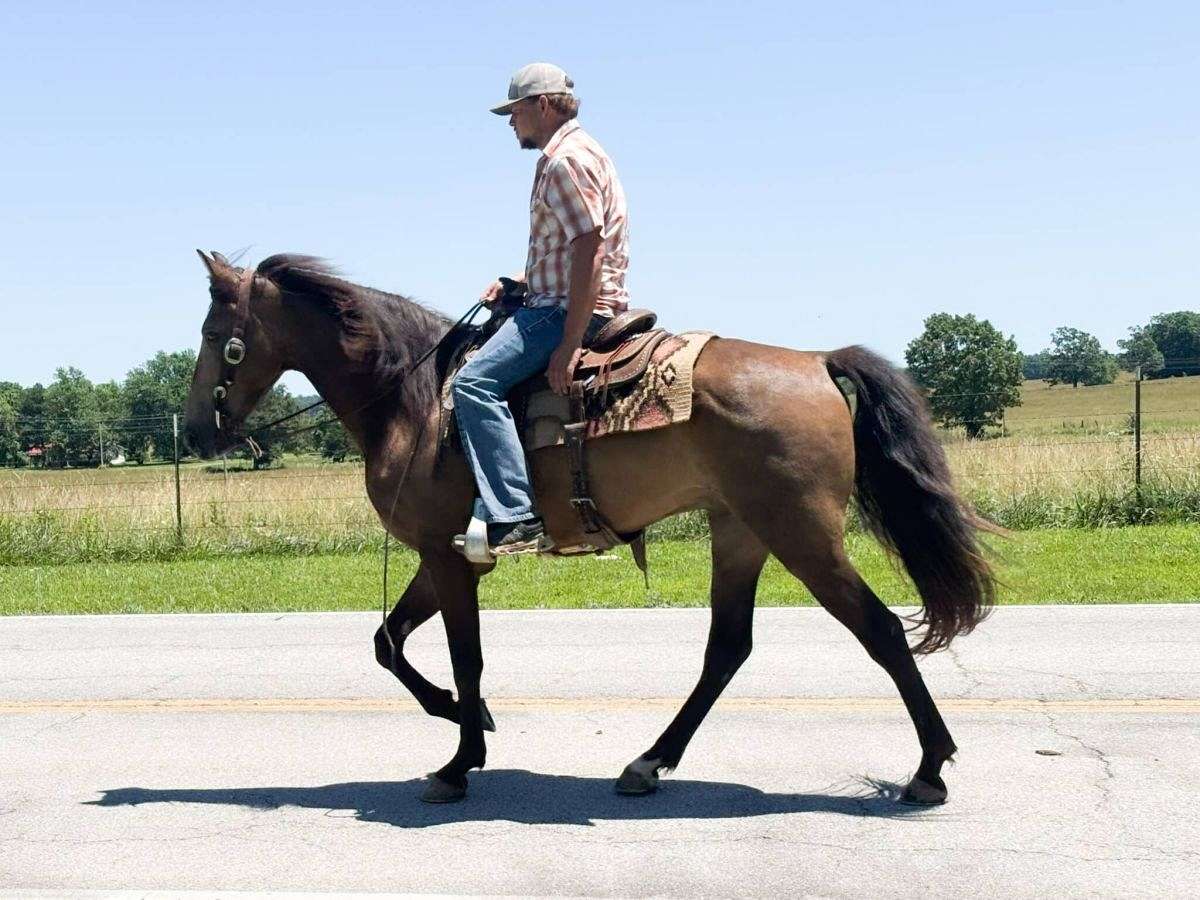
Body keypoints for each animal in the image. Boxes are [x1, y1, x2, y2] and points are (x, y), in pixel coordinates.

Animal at [184, 251, 995, 805]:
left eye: (217, 333)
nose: (194, 430)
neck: (411, 402)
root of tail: (817, 362)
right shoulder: (439, 554)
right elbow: (389, 642)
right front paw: (464, 719)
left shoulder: (449, 559)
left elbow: (463, 657)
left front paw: (459, 758)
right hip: (741, 531)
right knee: (727, 650)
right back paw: (648, 762)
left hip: (801, 535)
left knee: (880, 631)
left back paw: (929, 769)